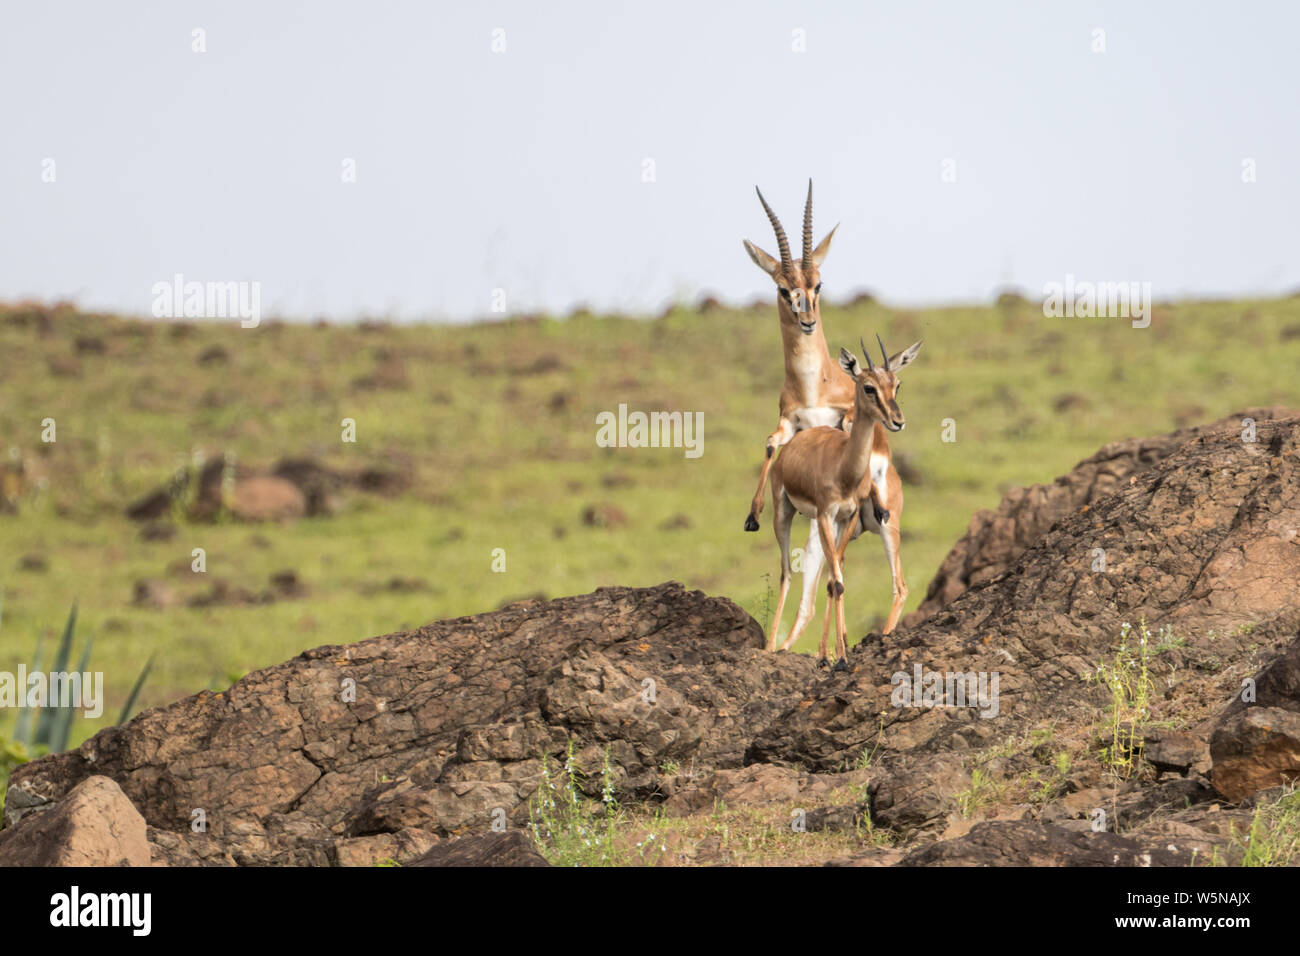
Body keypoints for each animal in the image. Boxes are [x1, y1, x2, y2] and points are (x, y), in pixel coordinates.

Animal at [767, 335, 922, 669]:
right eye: (869, 387)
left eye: (896, 385)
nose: (897, 421)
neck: (844, 470)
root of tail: (795, 442)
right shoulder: (828, 516)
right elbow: (835, 582)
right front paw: (836, 656)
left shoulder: (846, 518)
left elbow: (835, 581)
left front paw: (839, 656)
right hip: (784, 514)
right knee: (788, 572)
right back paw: (774, 647)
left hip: (884, 531)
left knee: (897, 585)